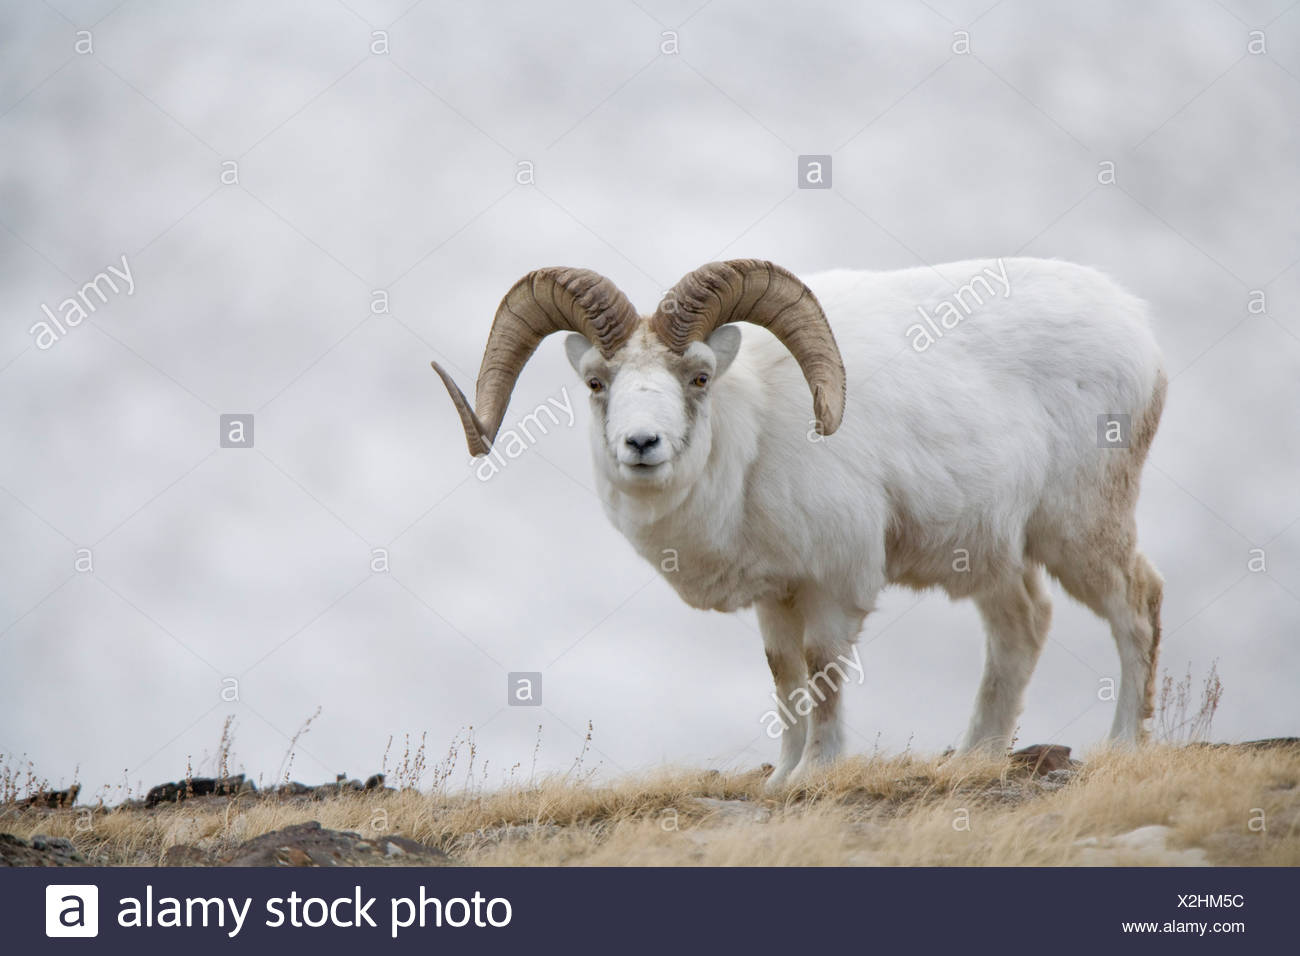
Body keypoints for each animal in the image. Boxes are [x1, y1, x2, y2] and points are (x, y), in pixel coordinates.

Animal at [432, 258, 1166, 788]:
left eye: (698, 377)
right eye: (595, 382)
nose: (642, 445)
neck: (749, 441)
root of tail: (1138, 330)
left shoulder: (835, 586)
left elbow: (822, 674)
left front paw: (817, 774)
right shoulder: (776, 596)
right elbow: (785, 680)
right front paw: (782, 778)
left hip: (1083, 531)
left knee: (1137, 608)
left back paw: (1123, 747)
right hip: (994, 556)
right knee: (1021, 630)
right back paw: (973, 759)